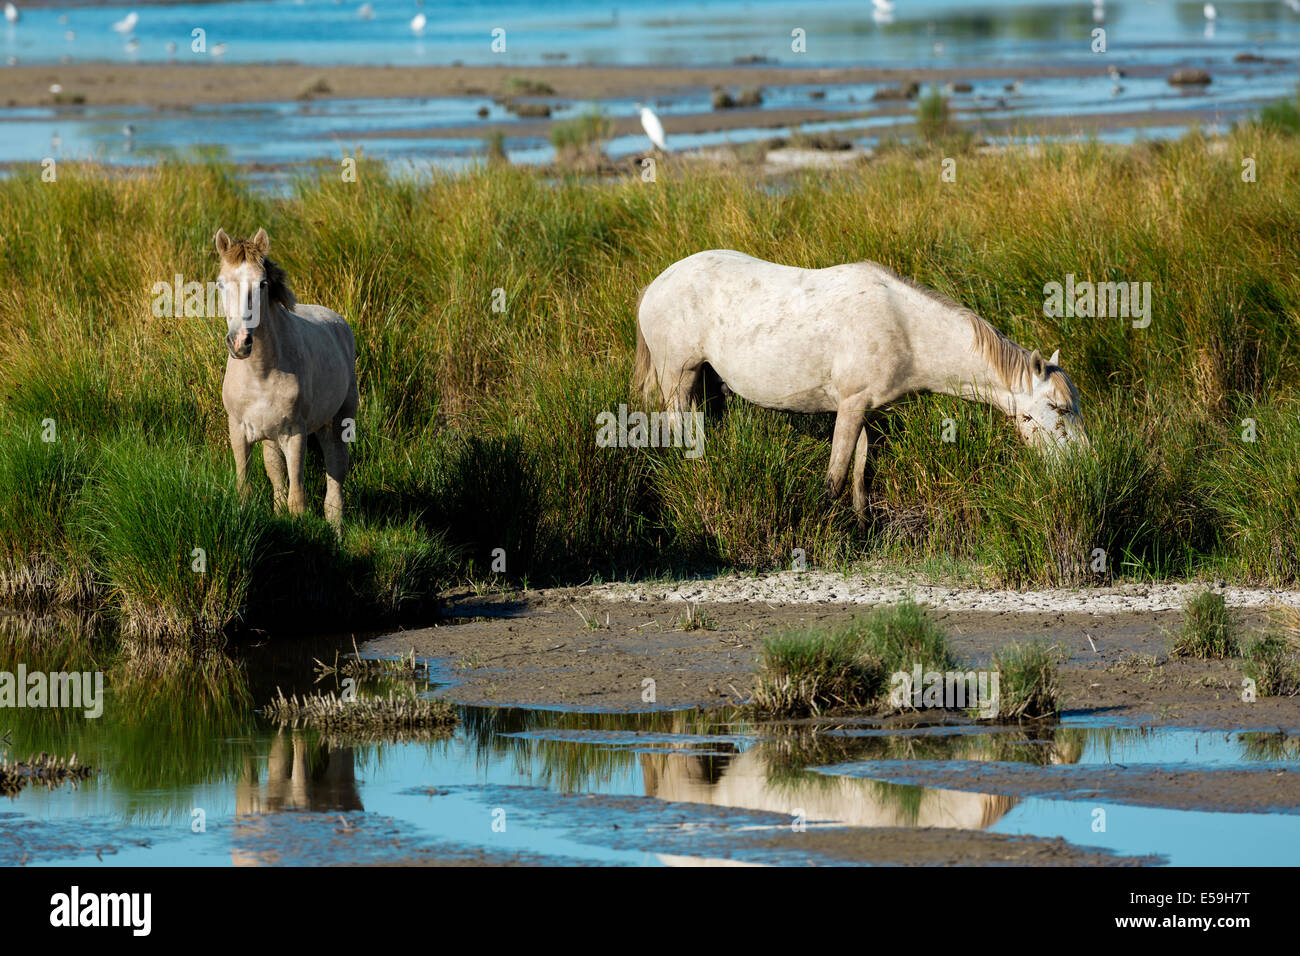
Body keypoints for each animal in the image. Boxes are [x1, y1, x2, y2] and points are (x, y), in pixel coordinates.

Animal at [216, 227, 358, 530]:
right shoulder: (238, 431)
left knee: (335, 475)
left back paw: (336, 529)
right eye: (221, 284)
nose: (239, 343)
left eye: (262, 284)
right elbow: (248, 490)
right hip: (274, 436)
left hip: (338, 422)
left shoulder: (295, 434)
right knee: (277, 474)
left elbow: (297, 501)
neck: (260, 374)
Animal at [633, 249, 1087, 518]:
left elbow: (859, 477)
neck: (904, 327)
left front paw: (862, 529)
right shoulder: (849, 407)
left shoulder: (866, 410)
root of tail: (656, 284)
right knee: (678, 429)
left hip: (707, 383)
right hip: (678, 379)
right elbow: (834, 480)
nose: (1083, 464)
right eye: (1058, 409)